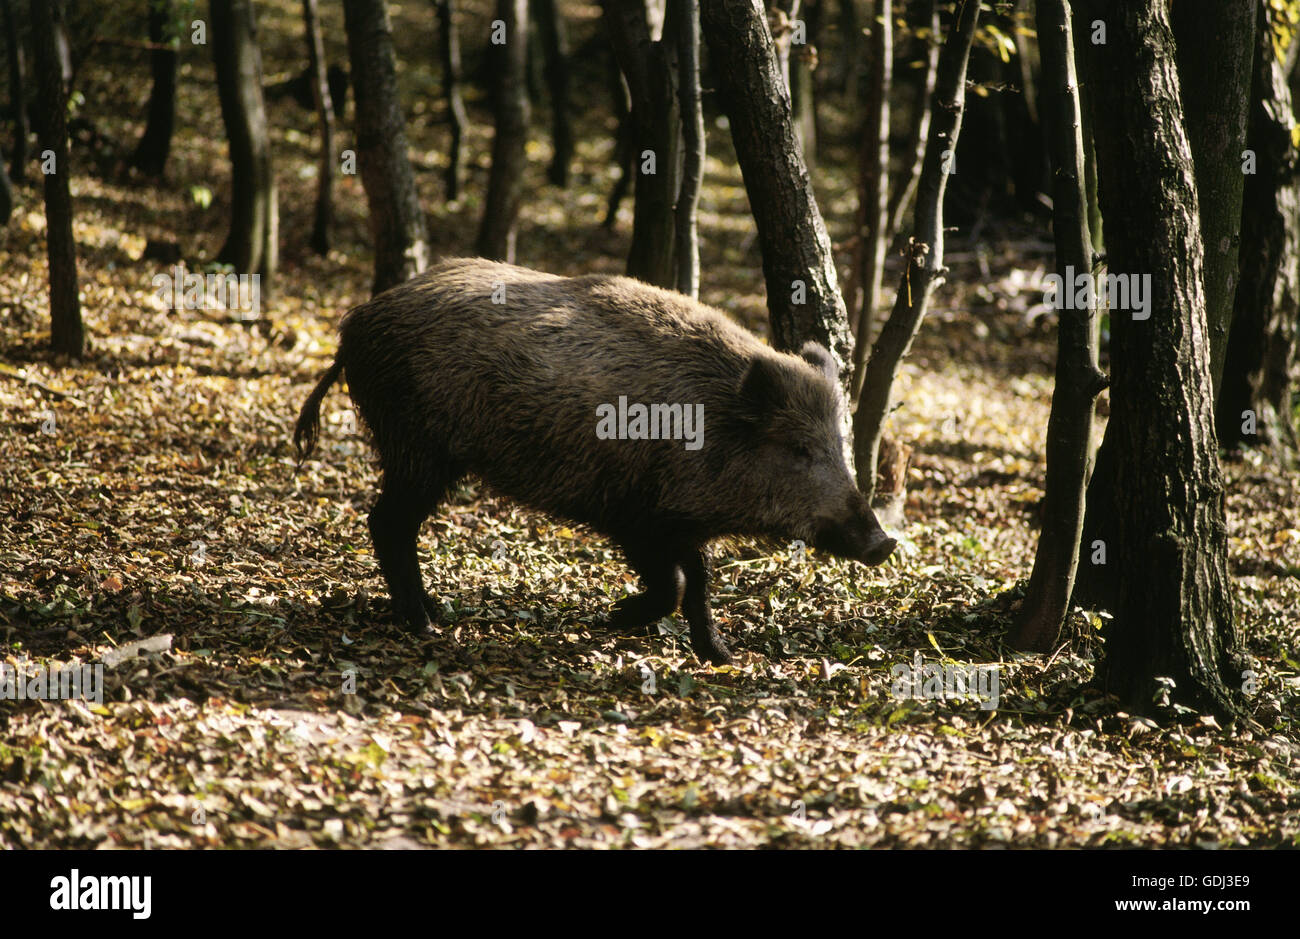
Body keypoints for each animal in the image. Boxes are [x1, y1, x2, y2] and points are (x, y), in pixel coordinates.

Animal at [294, 258, 896, 664]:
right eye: (799, 450)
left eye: (840, 446)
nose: (884, 542)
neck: (709, 425)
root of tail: (355, 324)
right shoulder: (630, 514)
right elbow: (677, 583)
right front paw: (616, 618)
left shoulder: (680, 519)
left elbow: (698, 580)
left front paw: (720, 656)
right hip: (418, 448)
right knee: (386, 522)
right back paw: (424, 626)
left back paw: (435, 613)